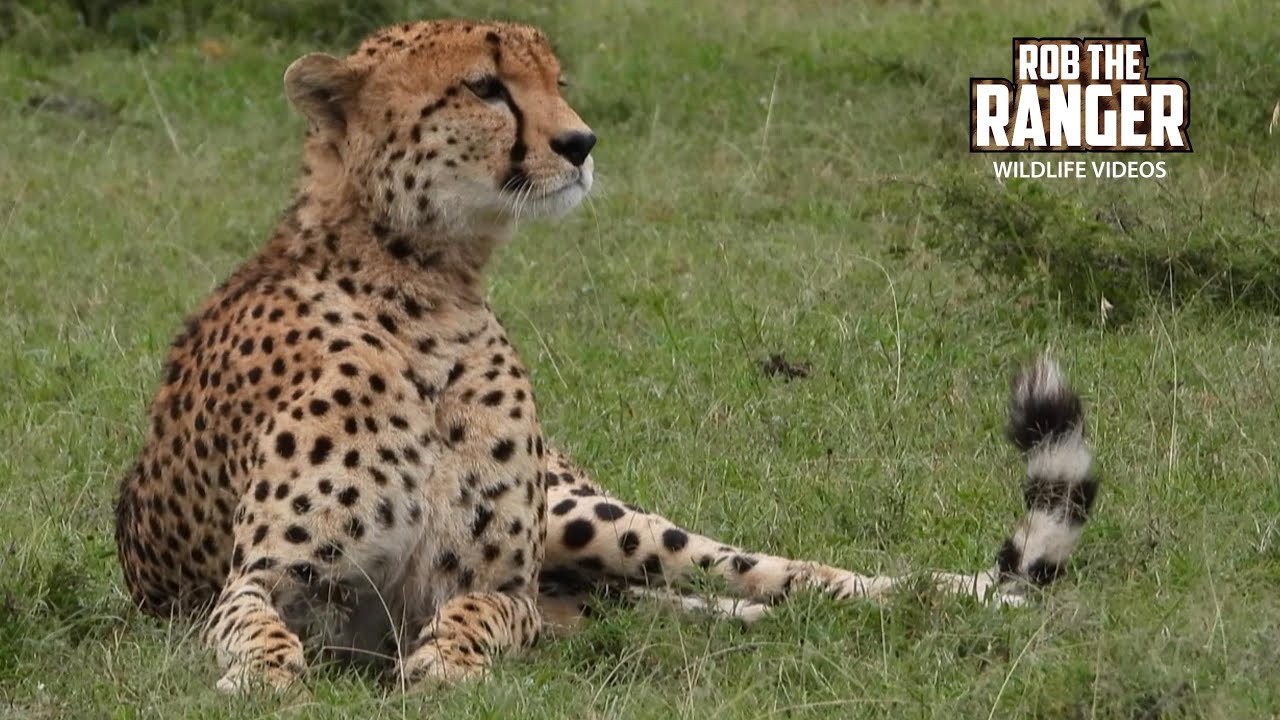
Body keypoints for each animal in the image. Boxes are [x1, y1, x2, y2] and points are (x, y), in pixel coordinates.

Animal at [113, 18, 1099, 692]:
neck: (429, 285)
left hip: (585, 520)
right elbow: (253, 628)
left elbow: (477, 613)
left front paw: (449, 664)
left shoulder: (496, 583)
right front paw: (265, 674)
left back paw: (951, 597)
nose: (580, 143)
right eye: (486, 87)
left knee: (788, 574)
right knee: (691, 604)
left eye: (555, 81)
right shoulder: (265, 580)